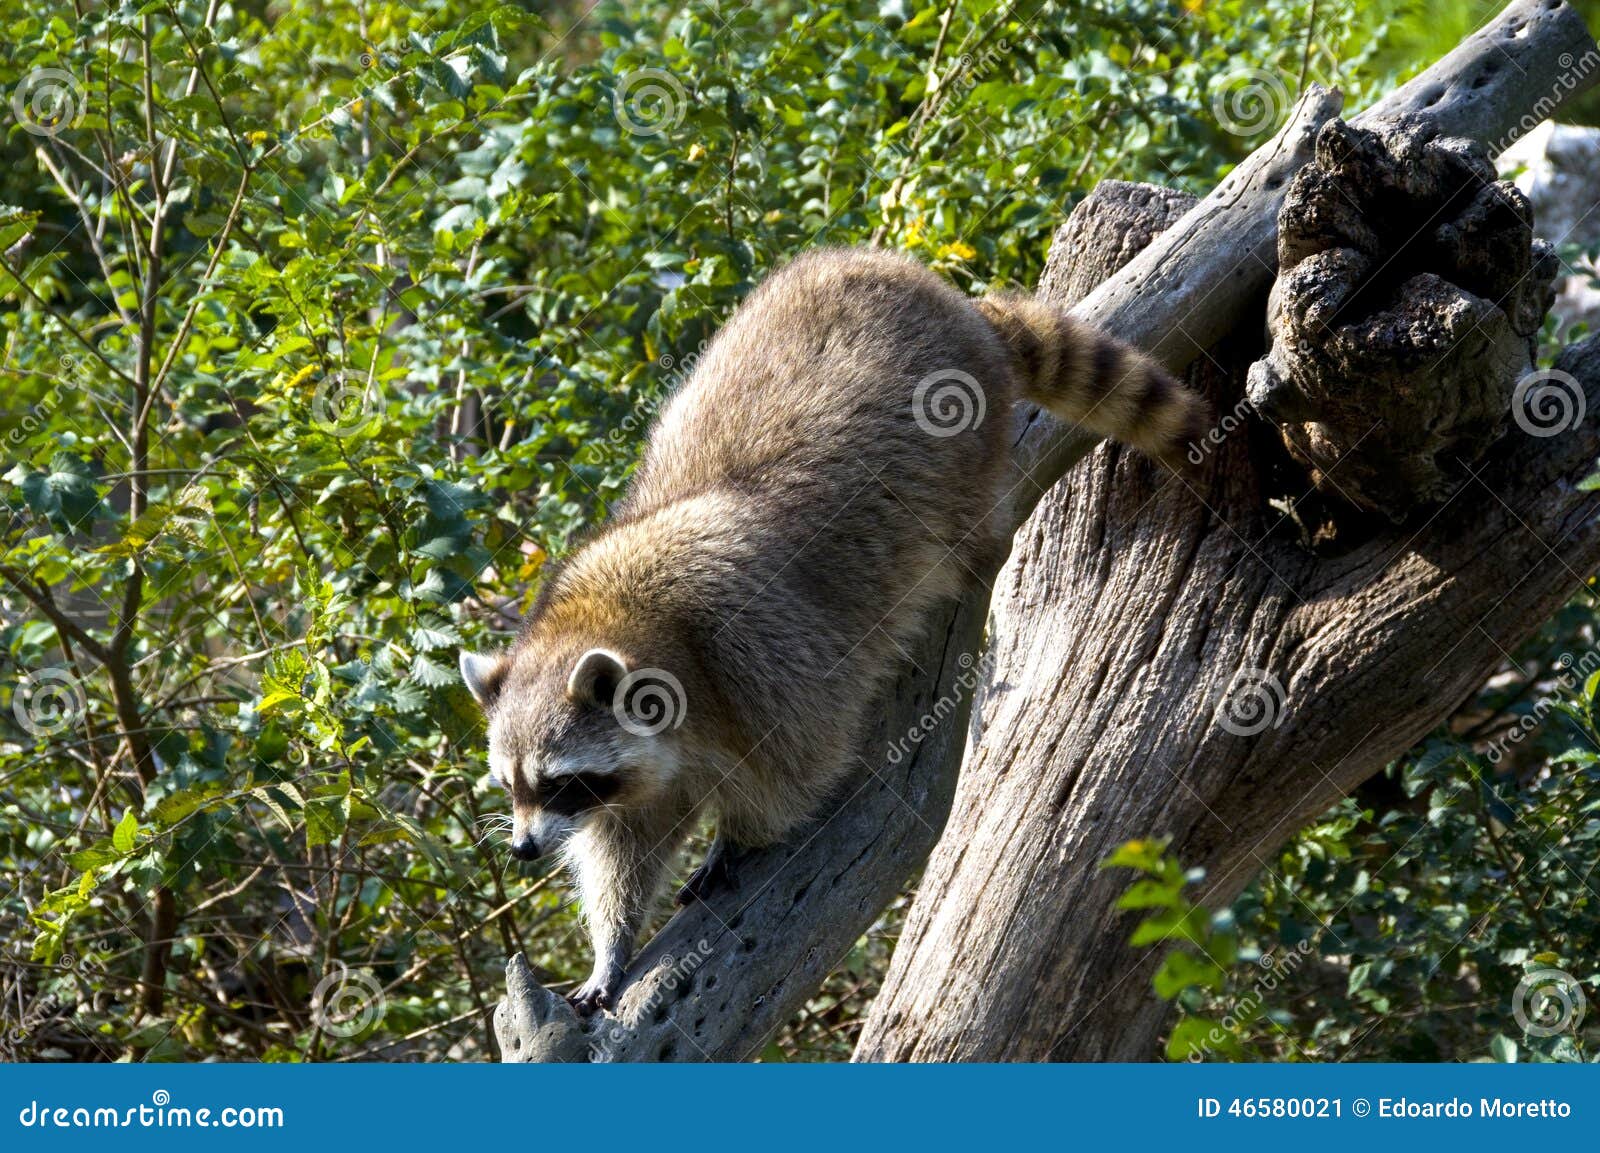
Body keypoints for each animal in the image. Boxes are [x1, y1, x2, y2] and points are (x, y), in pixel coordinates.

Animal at [460, 247, 1207, 1013]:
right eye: (511, 785)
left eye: (559, 784)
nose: (522, 848)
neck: (610, 615)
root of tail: (941, 294)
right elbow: (624, 846)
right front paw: (610, 947)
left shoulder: (755, 652)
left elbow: (801, 768)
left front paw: (738, 837)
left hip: (961, 437)